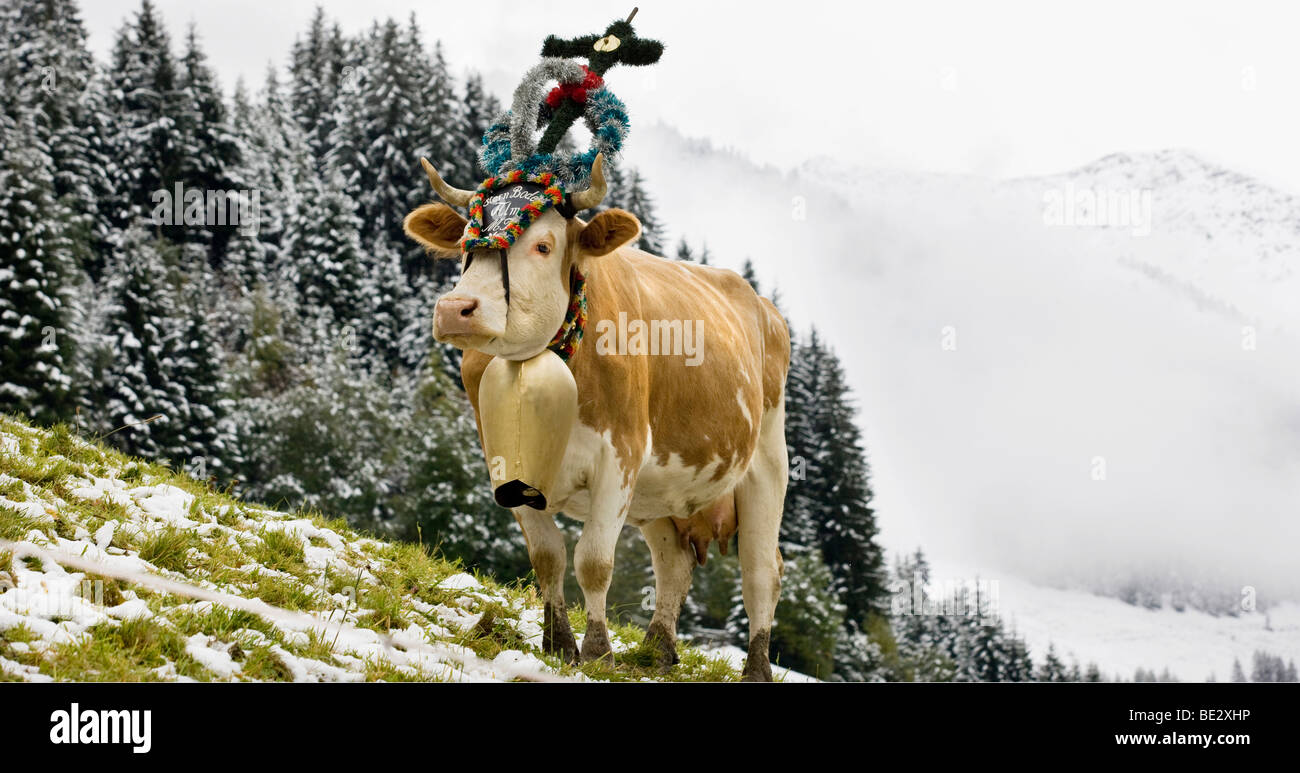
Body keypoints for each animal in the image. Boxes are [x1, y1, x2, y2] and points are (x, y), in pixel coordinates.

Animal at [403, 154, 790, 680]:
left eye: (543, 245)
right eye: (466, 242)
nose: (455, 309)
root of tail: (761, 305)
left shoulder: (619, 458)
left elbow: (594, 561)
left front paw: (598, 651)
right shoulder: (505, 464)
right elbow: (547, 556)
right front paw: (558, 645)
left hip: (766, 463)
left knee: (761, 573)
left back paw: (754, 668)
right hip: (661, 491)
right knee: (673, 563)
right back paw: (657, 650)